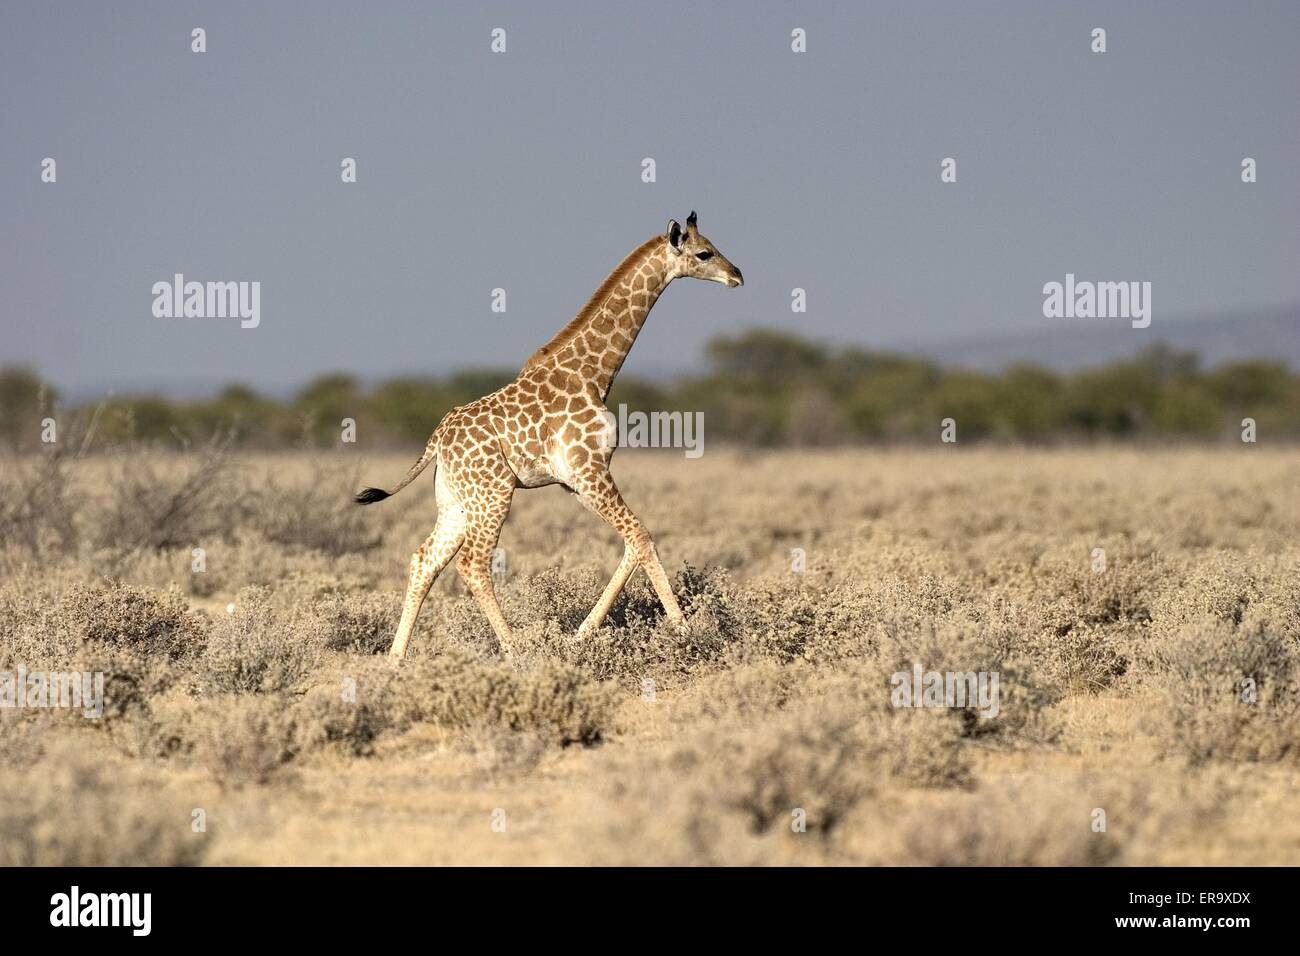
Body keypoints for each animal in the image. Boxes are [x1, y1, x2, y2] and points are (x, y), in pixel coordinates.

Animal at [355, 212, 744, 659]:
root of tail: (435, 440)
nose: (737, 275)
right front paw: (686, 632)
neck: (594, 373)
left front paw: (582, 633)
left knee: (424, 560)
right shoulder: (589, 470)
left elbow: (632, 541)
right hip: (493, 493)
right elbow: (641, 536)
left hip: (455, 502)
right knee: (473, 564)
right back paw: (516, 651)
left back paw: (396, 660)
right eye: (705, 252)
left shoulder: (574, 483)